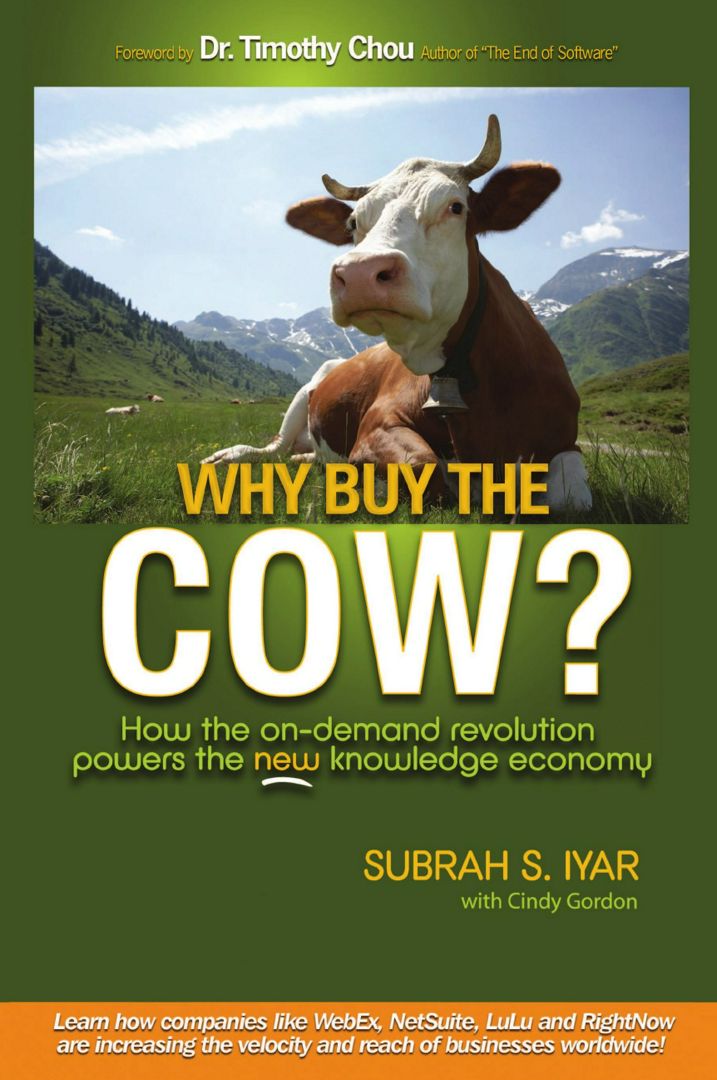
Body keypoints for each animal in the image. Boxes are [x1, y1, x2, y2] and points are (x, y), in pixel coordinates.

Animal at [203, 115, 591, 512]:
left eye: (456, 207)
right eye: (353, 224)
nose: (360, 272)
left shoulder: (565, 442)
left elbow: (573, 500)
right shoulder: (378, 423)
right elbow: (424, 466)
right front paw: (366, 484)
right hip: (302, 396)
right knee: (271, 449)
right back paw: (231, 455)